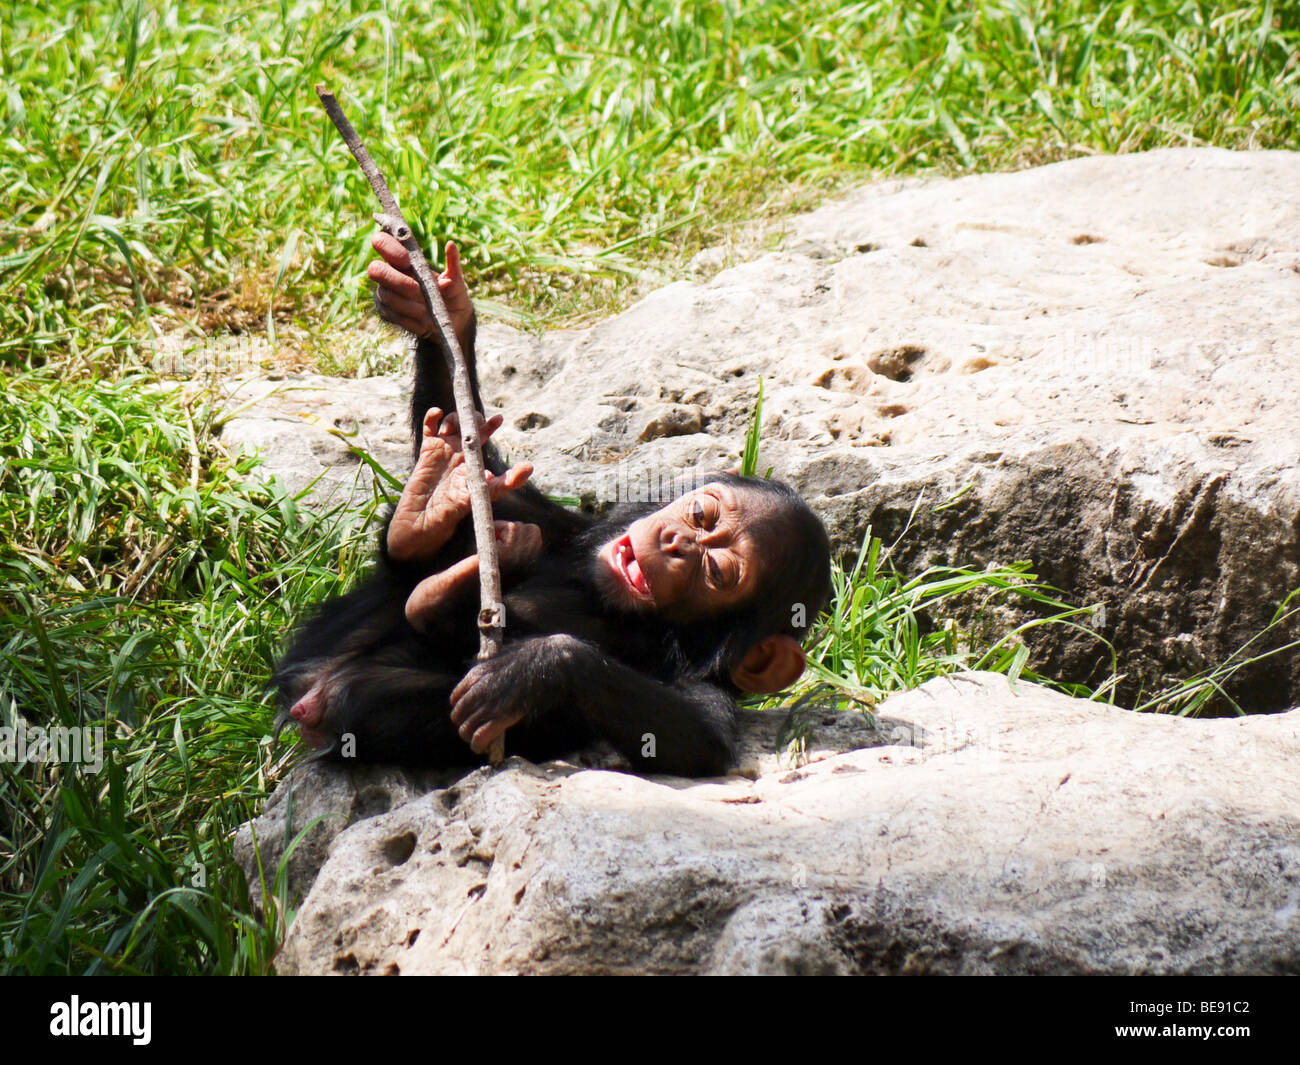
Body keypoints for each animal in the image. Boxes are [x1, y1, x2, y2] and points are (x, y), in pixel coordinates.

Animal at [272, 235, 832, 777]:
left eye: (716, 572)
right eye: (701, 516)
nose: (676, 541)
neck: (597, 593)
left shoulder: (704, 678)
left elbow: (702, 738)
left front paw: (538, 667)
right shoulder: (561, 523)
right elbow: (482, 460)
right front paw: (439, 308)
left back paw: (439, 592)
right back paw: (425, 516)